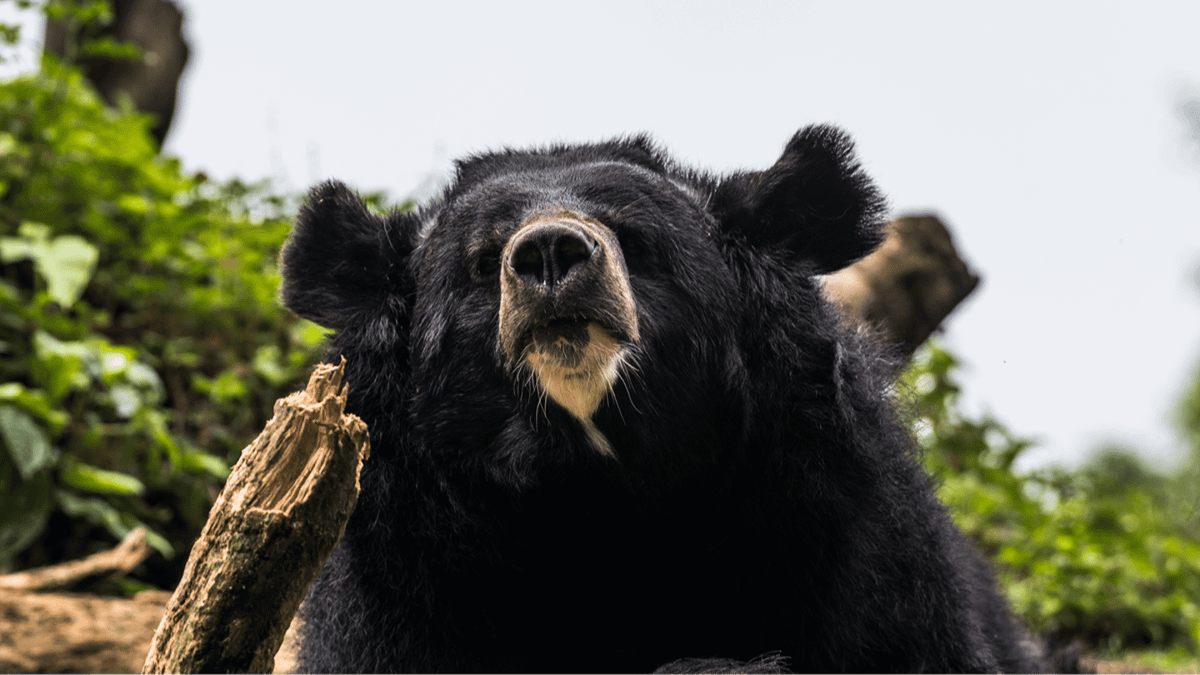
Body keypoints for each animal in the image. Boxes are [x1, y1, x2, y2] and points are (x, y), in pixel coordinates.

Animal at [279, 125, 1052, 673]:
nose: (551, 253)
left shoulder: (847, 529)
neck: (602, 486)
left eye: (634, 238)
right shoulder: (407, 574)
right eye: (481, 260)